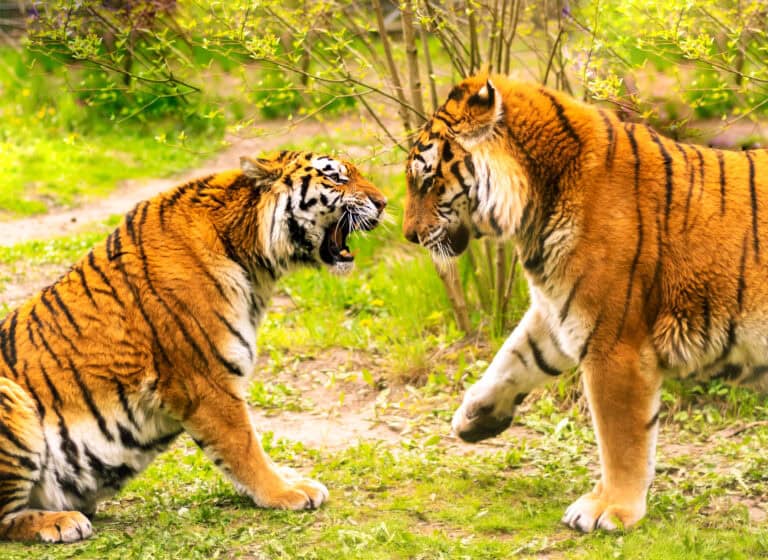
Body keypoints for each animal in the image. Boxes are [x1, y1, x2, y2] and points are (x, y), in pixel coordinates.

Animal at [0, 150, 386, 543]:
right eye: (336, 178)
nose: (384, 203)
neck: (253, 256)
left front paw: (291, 478)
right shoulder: (206, 380)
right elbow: (244, 445)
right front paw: (284, 492)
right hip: (11, 398)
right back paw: (62, 521)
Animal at [403, 72, 768, 532]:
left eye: (428, 181)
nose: (409, 236)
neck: (536, 206)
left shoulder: (613, 341)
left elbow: (621, 438)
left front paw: (610, 508)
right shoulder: (558, 311)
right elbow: (512, 359)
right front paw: (474, 417)